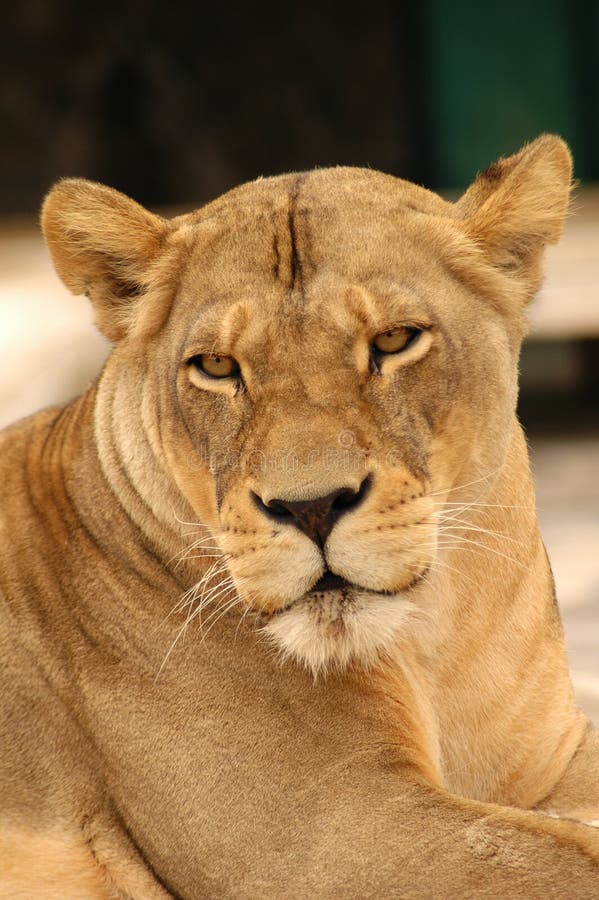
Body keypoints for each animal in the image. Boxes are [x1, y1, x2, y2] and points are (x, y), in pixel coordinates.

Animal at [1, 134, 598, 898]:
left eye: (394, 340)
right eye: (216, 366)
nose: (310, 506)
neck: (434, 643)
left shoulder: (548, 758)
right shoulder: (325, 839)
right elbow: (568, 859)